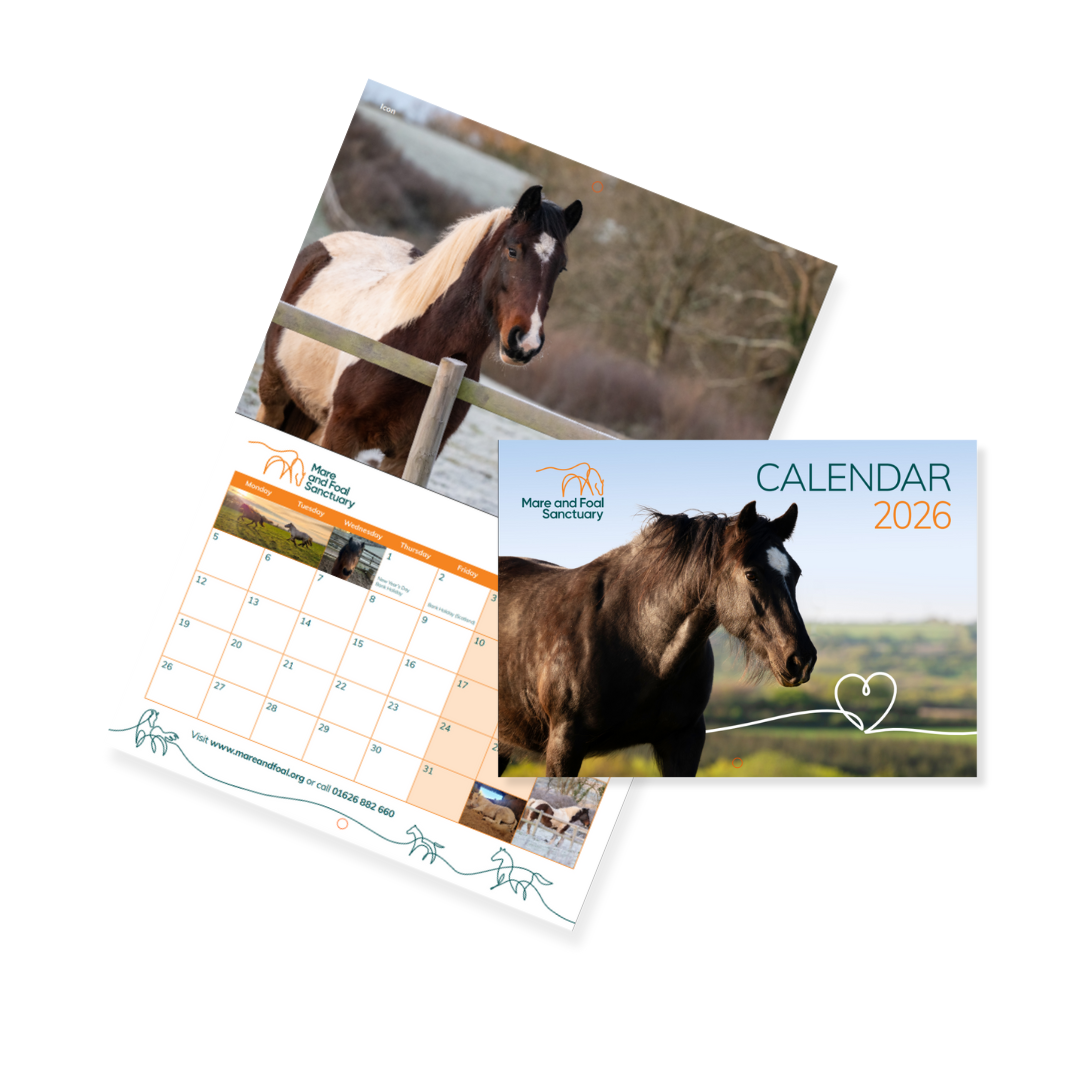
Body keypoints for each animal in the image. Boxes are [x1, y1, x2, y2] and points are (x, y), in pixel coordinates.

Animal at [257, 185, 582, 477]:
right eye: (513, 251)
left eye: (561, 268)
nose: (526, 342)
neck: (420, 354)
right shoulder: (341, 434)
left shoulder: (407, 456)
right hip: (275, 390)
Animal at [498, 501, 817, 777]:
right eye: (751, 574)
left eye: (796, 573)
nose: (801, 659)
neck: (640, 643)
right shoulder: (565, 745)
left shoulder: (683, 741)